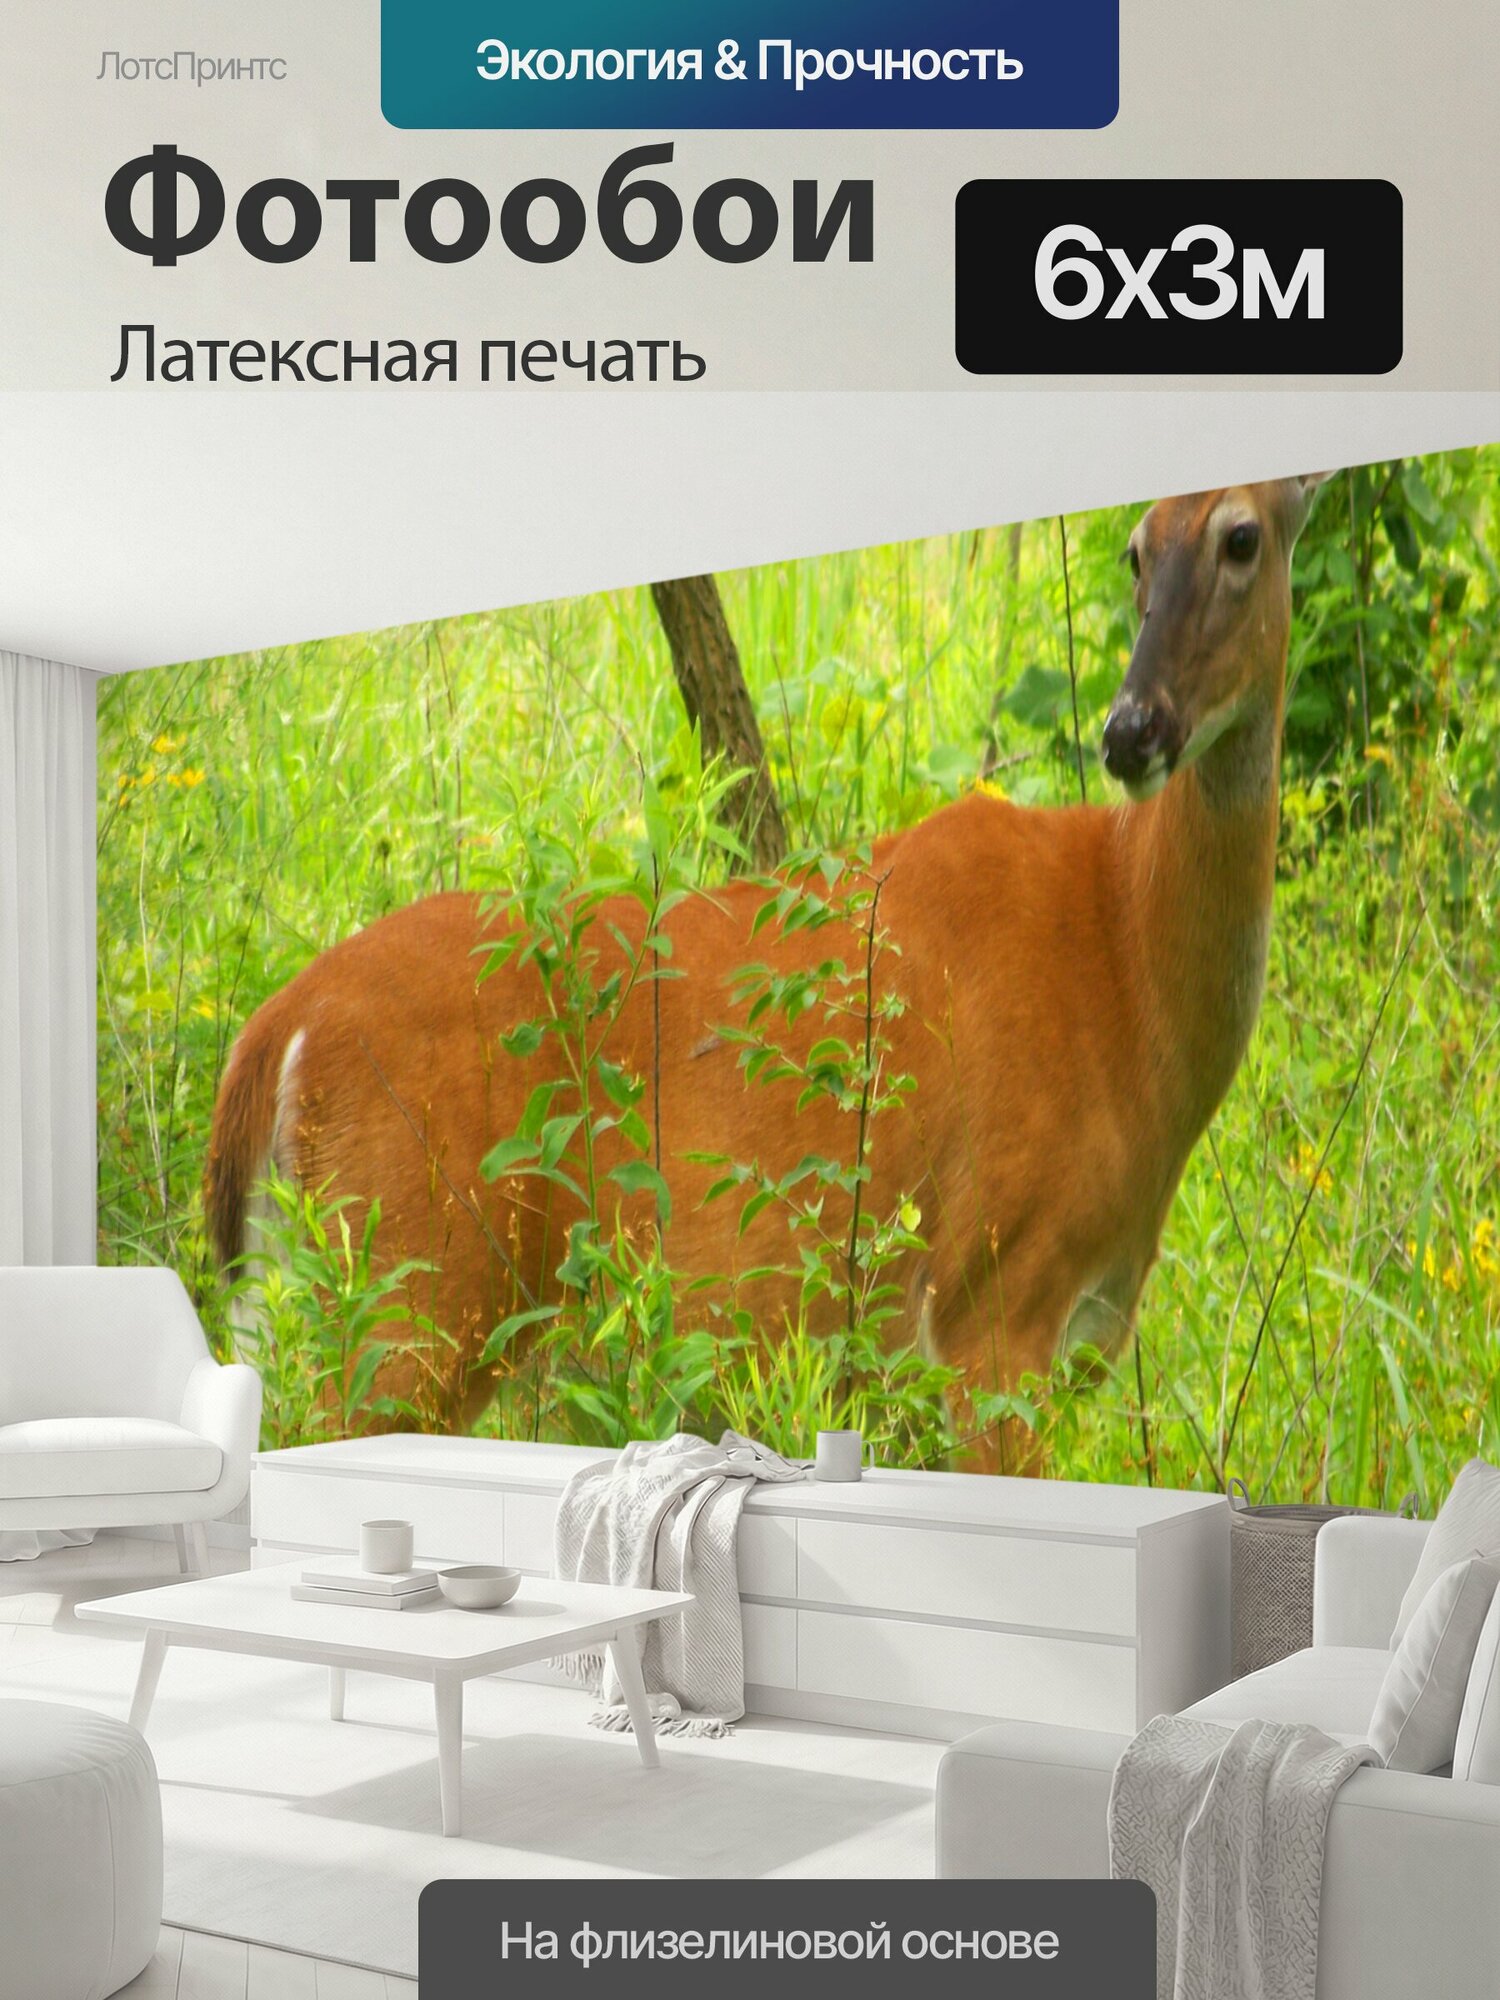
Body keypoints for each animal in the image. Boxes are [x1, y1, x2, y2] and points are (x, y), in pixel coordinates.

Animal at [205, 475, 1324, 1470]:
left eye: (1241, 538)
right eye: (1136, 549)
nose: (1133, 729)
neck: (1125, 963)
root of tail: (273, 1031)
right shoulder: (990, 1305)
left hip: (297, 1283)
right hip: (407, 1282)